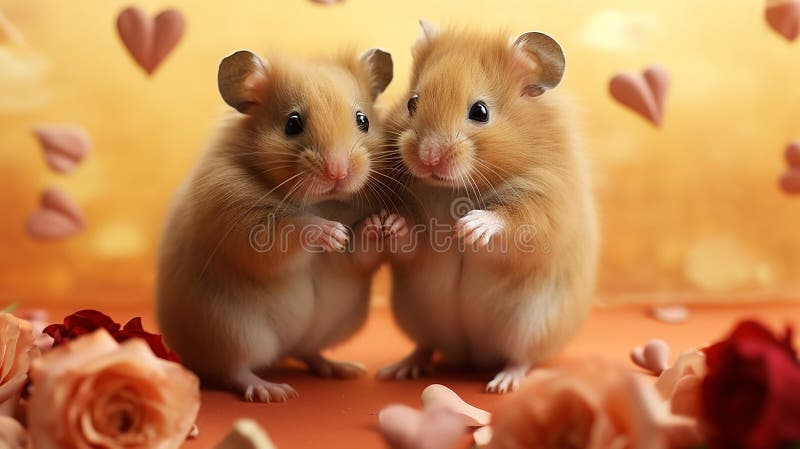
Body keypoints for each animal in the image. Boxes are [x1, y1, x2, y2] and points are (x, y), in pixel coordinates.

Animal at [156, 47, 394, 402]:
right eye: (292, 124)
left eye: (362, 120)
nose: (338, 171)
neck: (324, 202)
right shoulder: (242, 219)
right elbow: (289, 232)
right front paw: (331, 232)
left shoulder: (349, 261)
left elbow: (358, 253)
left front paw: (386, 224)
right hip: (231, 330)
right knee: (233, 371)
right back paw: (274, 392)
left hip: (333, 324)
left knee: (309, 353)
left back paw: (344, 369)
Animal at [377, 22, 598, 393]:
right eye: (412, 102)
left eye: (480, 112)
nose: (428, 157)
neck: (451, 190)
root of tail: (472, 356)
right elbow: (409, 239)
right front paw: (385, 224)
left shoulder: (547, 201)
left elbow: (513, 220)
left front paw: (469, 227)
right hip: (417, 317)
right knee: (426, 346)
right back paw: (398, 370)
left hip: (532, 325)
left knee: (521, 358)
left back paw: (501, 384)